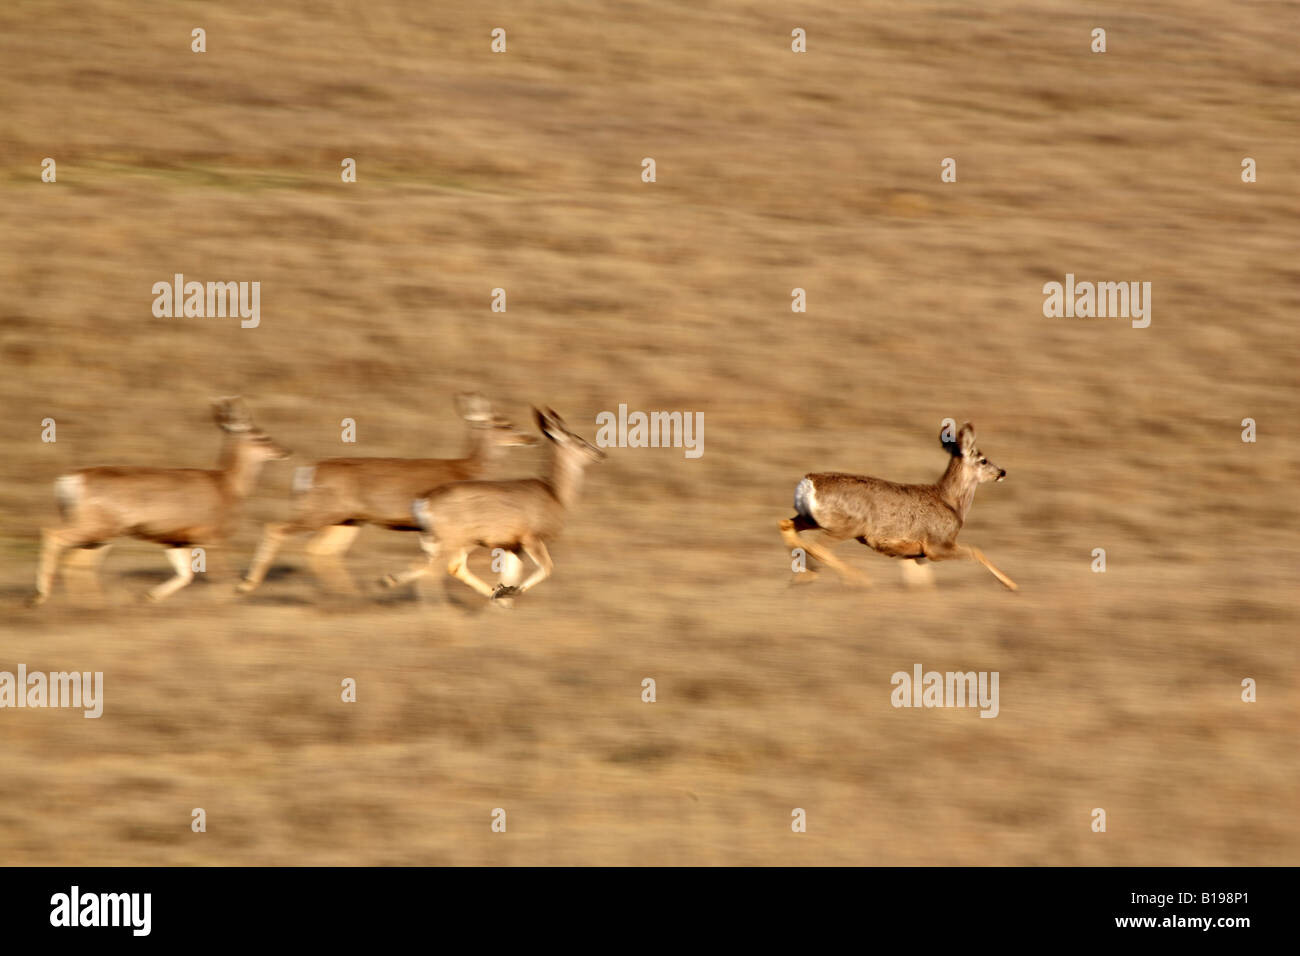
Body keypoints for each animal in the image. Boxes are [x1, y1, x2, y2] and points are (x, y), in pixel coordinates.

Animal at [30, 397, 291, 606]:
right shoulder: (211, 534)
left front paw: (149, 596)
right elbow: (222, 574)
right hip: (96, 525)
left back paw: (91, 602)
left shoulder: (176, 539)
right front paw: (231, 596)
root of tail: (70, 480)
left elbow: (186, 574)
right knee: (53, 535)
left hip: (102, 532)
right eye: (261, 435)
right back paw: (40, 596)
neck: (228, 485)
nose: (285, 451)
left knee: (78, 561)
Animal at [235, 393, 538, 595]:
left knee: (322, 549)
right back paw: (247, 585)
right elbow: (451, 564)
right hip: (320, 511)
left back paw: (349, 595)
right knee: (277, 528)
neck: (468, 468)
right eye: (505, 423)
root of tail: (307, 471)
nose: (530, 438)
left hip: (347, 520)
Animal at [379, 407, 605, 607]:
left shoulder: (512, 544)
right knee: (435, 572)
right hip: (453, 539)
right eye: (580, 441)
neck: (554, 494)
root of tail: (424, 501)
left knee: (434, 566)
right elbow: (547, 568)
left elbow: (511, 574)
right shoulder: (531, 536)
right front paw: (507, 595)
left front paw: (504, 597)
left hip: (434, 538)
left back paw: (386, 581)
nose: (601, 454)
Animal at [778, 421, 1018, 591]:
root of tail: (808, 483)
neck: (950, 501)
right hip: (848, 524)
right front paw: (1012, 585)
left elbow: (923, 584)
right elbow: (976, 551)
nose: (1002, 472)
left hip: (810, 518)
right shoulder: (937, 545)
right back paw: (858, 579)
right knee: (817, 546)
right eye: (983, 460)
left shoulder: (913, 554)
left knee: (786, 525)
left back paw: (804, 576)